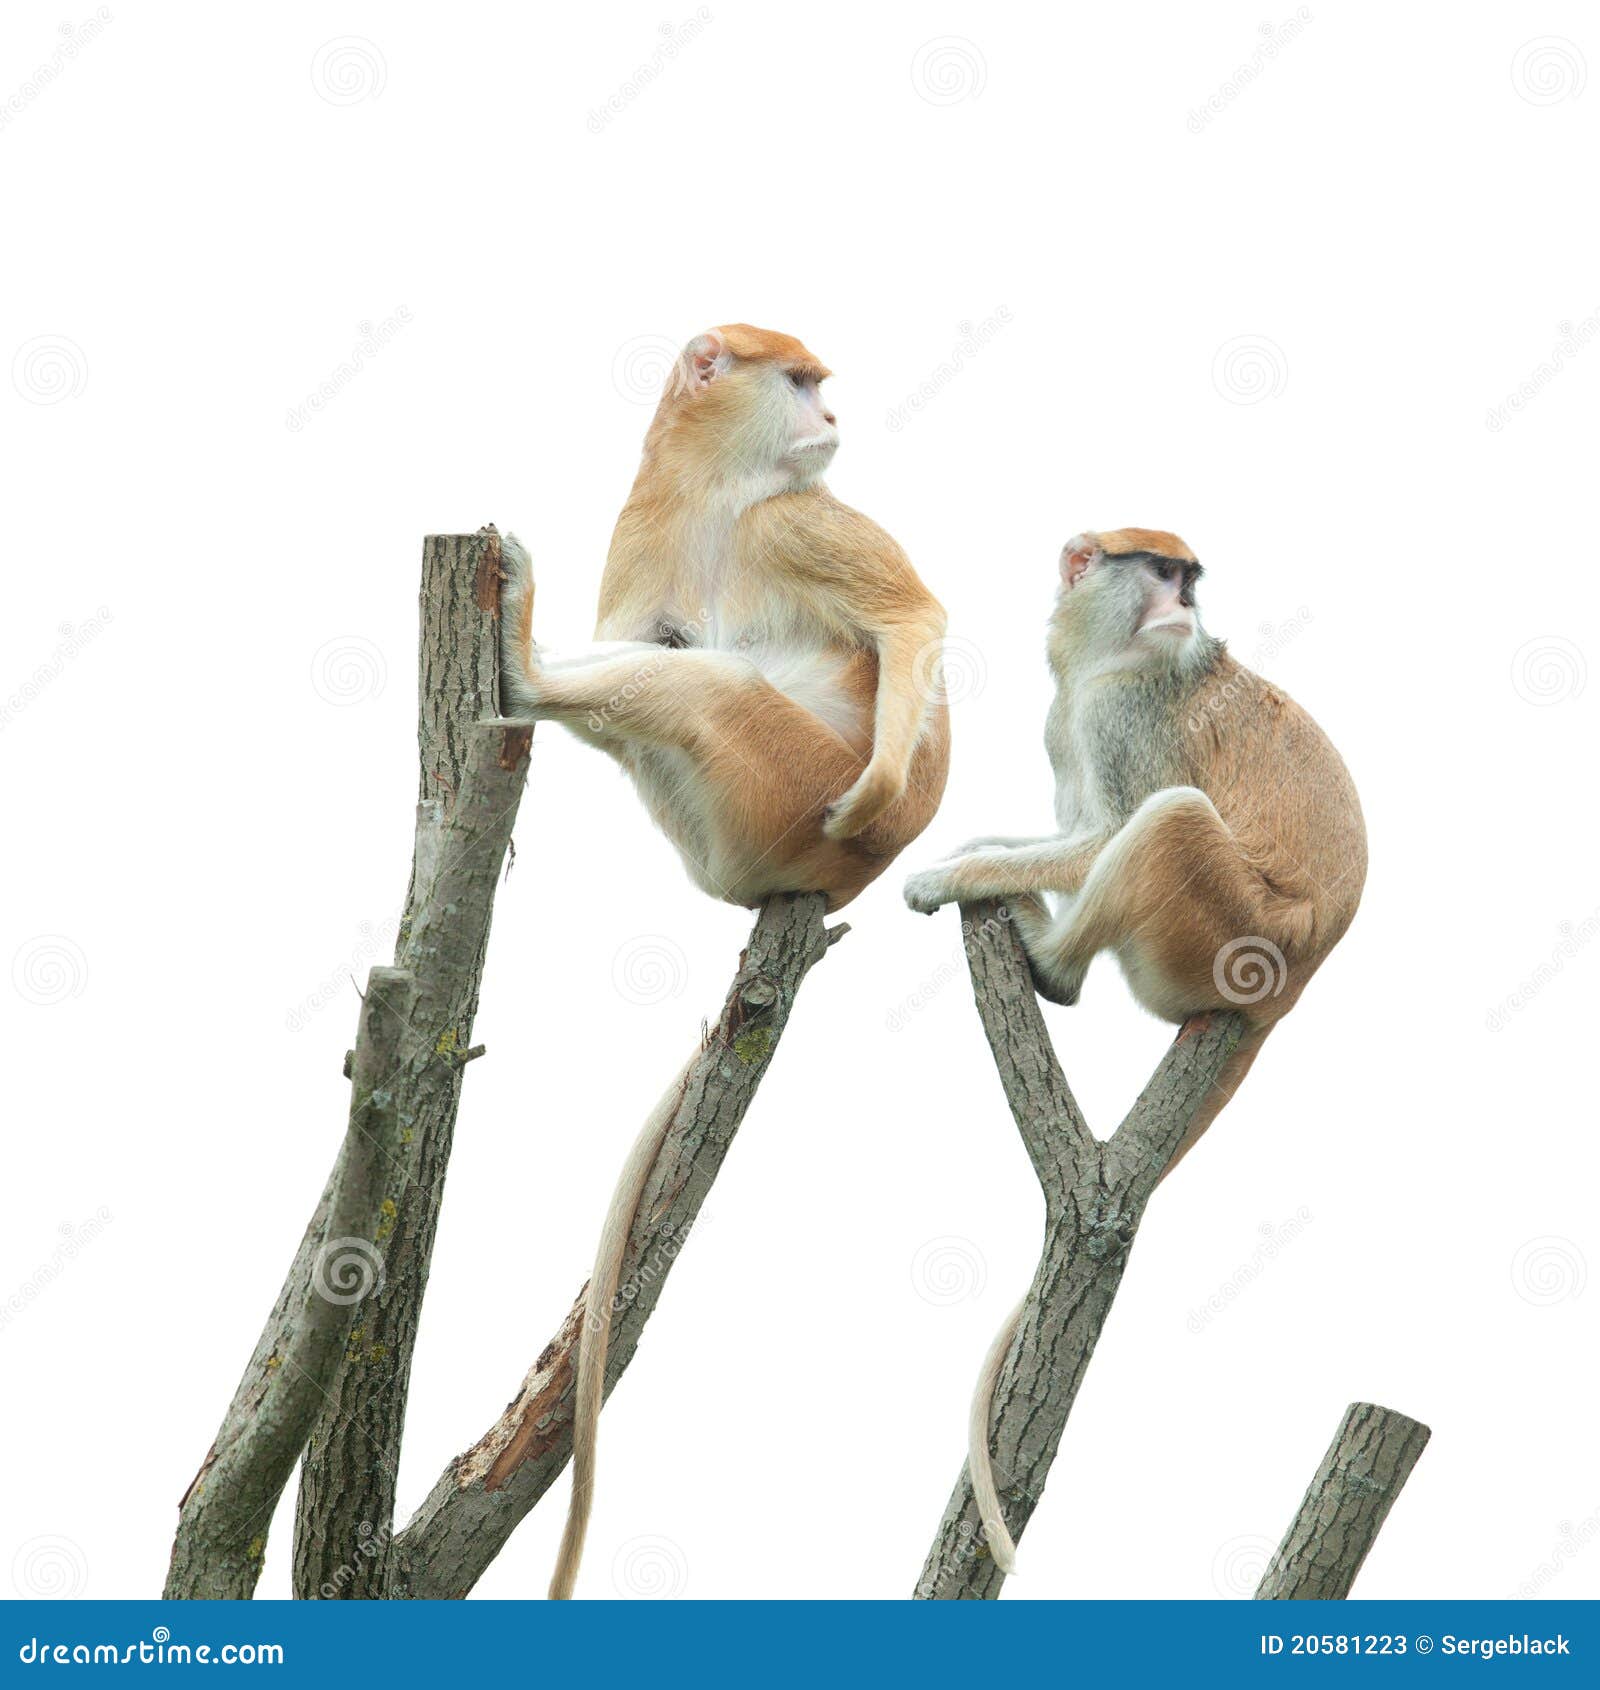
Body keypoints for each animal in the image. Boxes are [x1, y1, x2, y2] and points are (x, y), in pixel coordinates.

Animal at [500, 324, 950, 1598]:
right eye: (796, 381)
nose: (832, 421)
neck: (713, 488)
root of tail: (817, 885)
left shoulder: (797, 520)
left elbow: (912, 621)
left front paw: (884, 783)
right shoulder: (648, 521)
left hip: (776, 789)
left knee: (705, 687)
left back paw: (526, 669)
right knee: (651, 698)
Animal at [901, 528, 1365, 1574]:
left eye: (1191, 580)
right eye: (1163, 571)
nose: (1184, 605)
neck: (1106, 662)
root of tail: (1293, 989)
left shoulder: (1122, 718)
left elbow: (1112, 829)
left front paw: (953, 876)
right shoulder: (1075, 714)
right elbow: (1079, 827)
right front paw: (971, 848)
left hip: (1227, 937)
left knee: (1172, 821)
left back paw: (1050, 965)